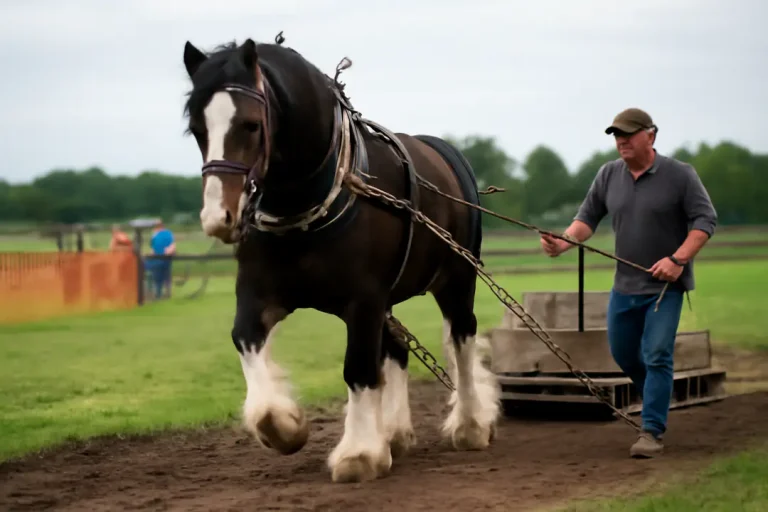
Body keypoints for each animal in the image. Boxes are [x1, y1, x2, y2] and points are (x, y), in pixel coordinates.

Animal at [181, 36, 501, 483]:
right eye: (197, 129)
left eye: (251, 124)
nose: (218, 217)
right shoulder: (260, 294)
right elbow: (244, 340)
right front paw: (286, 427)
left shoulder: (363, 299)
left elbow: (359, 368)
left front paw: (360, 452)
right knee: (398, 349)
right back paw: (395, 433)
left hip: (457, 278)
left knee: (462, 339)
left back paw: (469, 424)